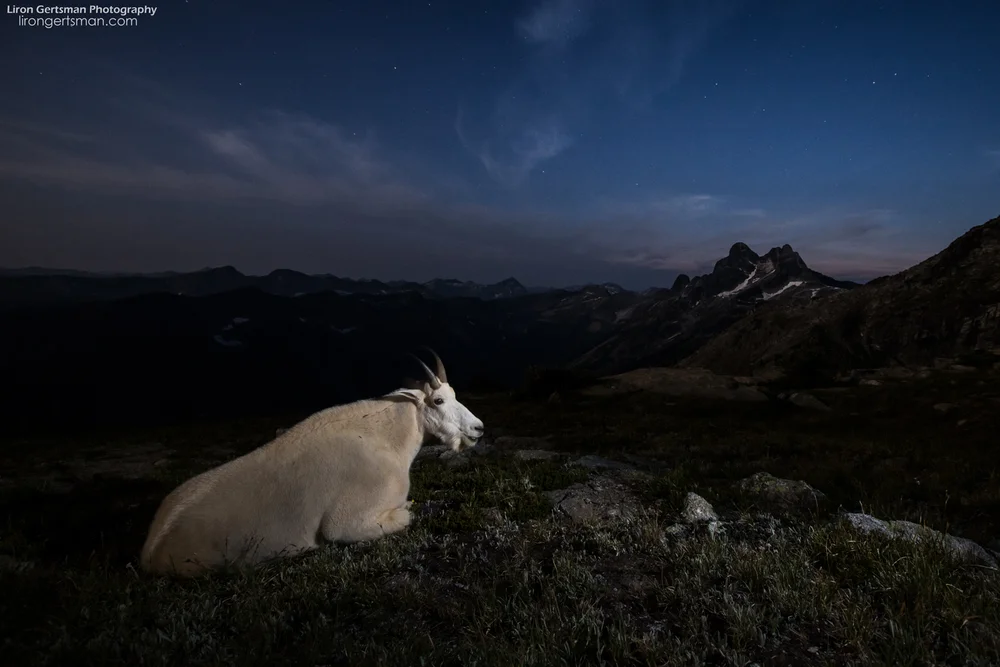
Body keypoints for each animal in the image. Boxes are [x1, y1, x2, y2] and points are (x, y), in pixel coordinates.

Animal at [139, 349, 484, 577]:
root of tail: (151, 552)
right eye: (438, 400)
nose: (478, 429)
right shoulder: (348, 522)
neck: (386, 437)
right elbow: (402, 516)